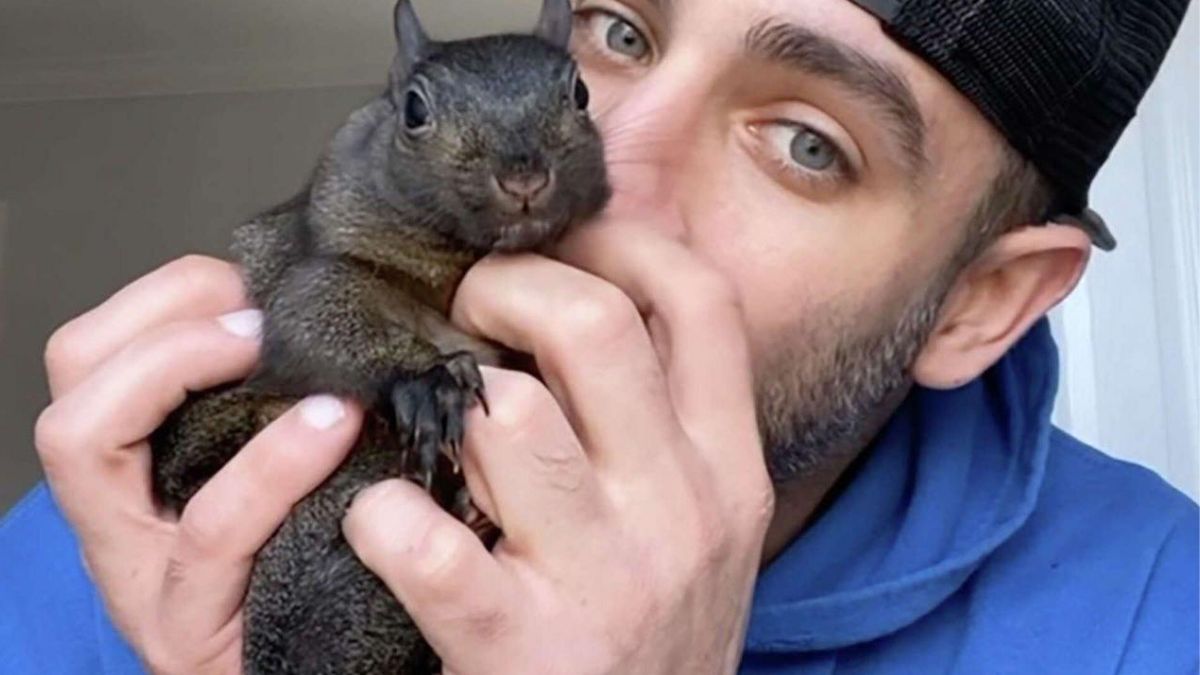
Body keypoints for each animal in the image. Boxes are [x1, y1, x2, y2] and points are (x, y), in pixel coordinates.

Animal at [148, 1, 611, 673]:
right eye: (414, 109)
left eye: (580, 93)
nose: (523, 177)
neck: (462, 257)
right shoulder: (320, 263)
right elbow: (312, 317)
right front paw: (428, 381)